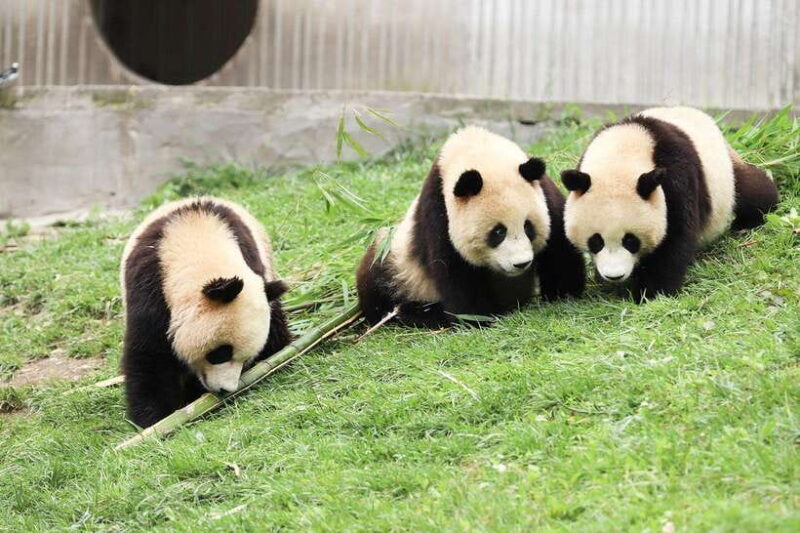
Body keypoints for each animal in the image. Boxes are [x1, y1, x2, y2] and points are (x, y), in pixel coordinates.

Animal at [120, 197, 292, 427]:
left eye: (246, 359)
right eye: (220, 353)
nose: (225, 389)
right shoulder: (149, 288)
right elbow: (150, 356)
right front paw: (156, 419)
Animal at [356, 126, 585, 327]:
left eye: (528, 227)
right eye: (498, 232)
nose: (521, 264)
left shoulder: (544, 194)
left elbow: (559, 247)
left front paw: (563, 293)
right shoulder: (439, 214)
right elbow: (455, 271)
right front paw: (478, 316)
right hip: (397, 263)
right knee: (377, 287)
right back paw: (418, 314)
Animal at [562, 106, 779, 302]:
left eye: (630, 240)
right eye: (596, 241)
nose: (614, 275)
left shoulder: (676, 177)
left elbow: (675, 237)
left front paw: (652, 292)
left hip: (724, 176)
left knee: (750, 190)